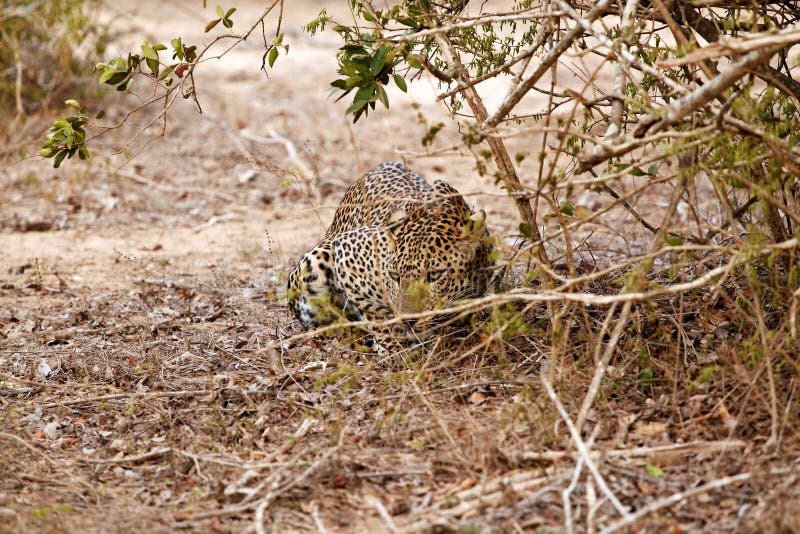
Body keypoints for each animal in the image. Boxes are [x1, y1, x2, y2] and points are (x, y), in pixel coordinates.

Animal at [286, 160, 492, 353]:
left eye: (435, 275)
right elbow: (376, 314)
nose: (409, 321)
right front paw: (393, 346)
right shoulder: (345, 251)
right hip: (315, 262)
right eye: (395, 276)